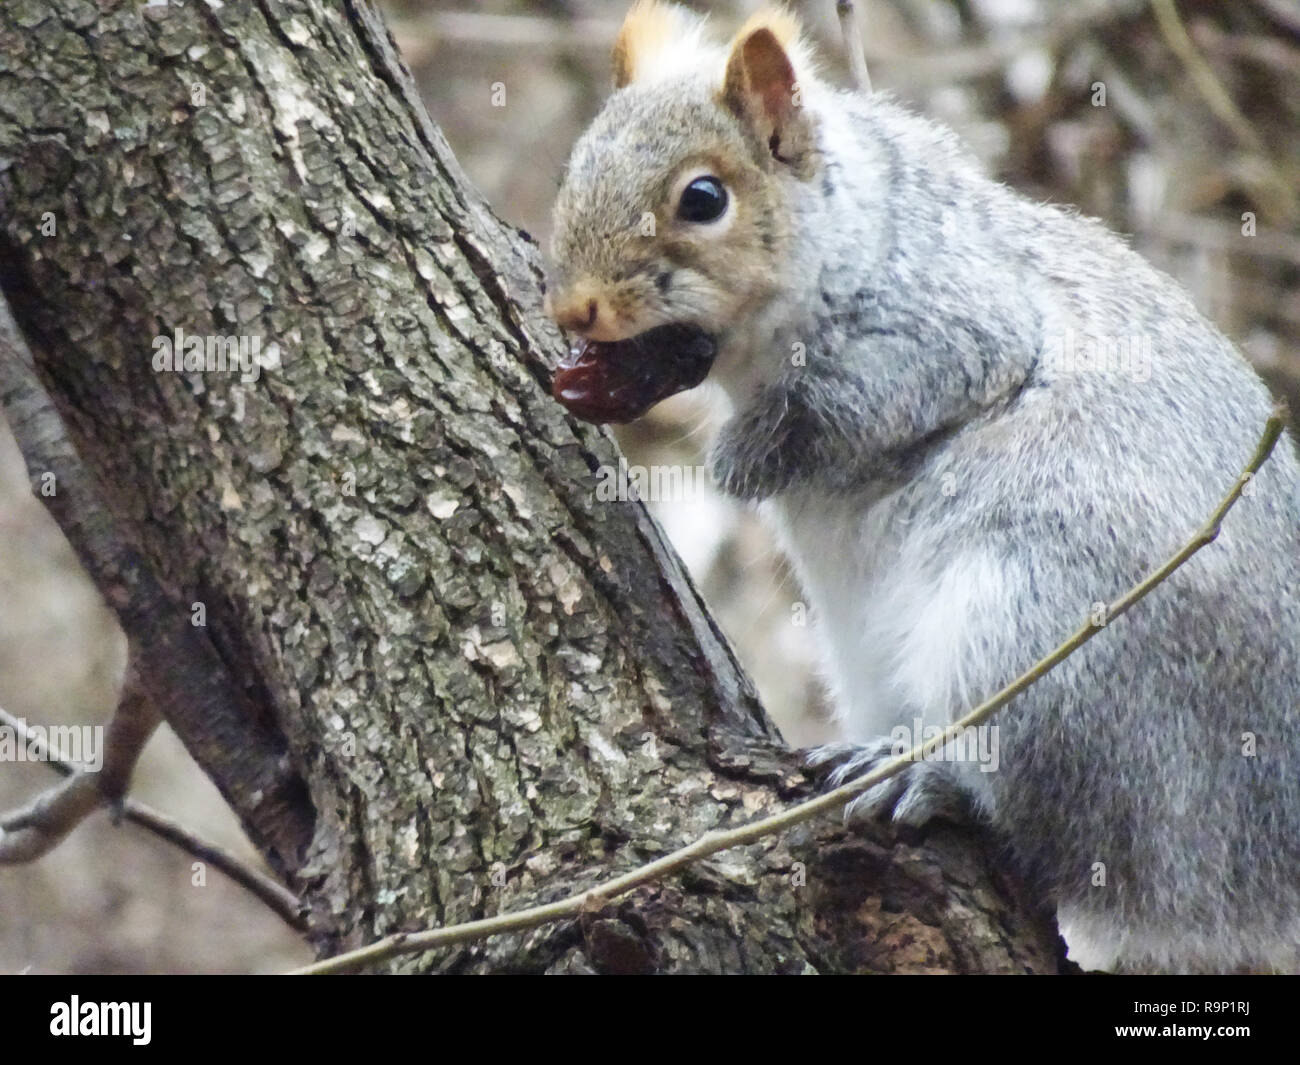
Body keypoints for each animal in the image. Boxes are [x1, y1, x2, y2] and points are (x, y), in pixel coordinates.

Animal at [546, 0, 1300, 974]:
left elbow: (869, 402)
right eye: (576, 167)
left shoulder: (950, 325)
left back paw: (924, 773)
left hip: (1047, 633)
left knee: (1059, 823)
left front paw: (740, 460)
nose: (575, 310)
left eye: (703, 199)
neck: (856, 224)